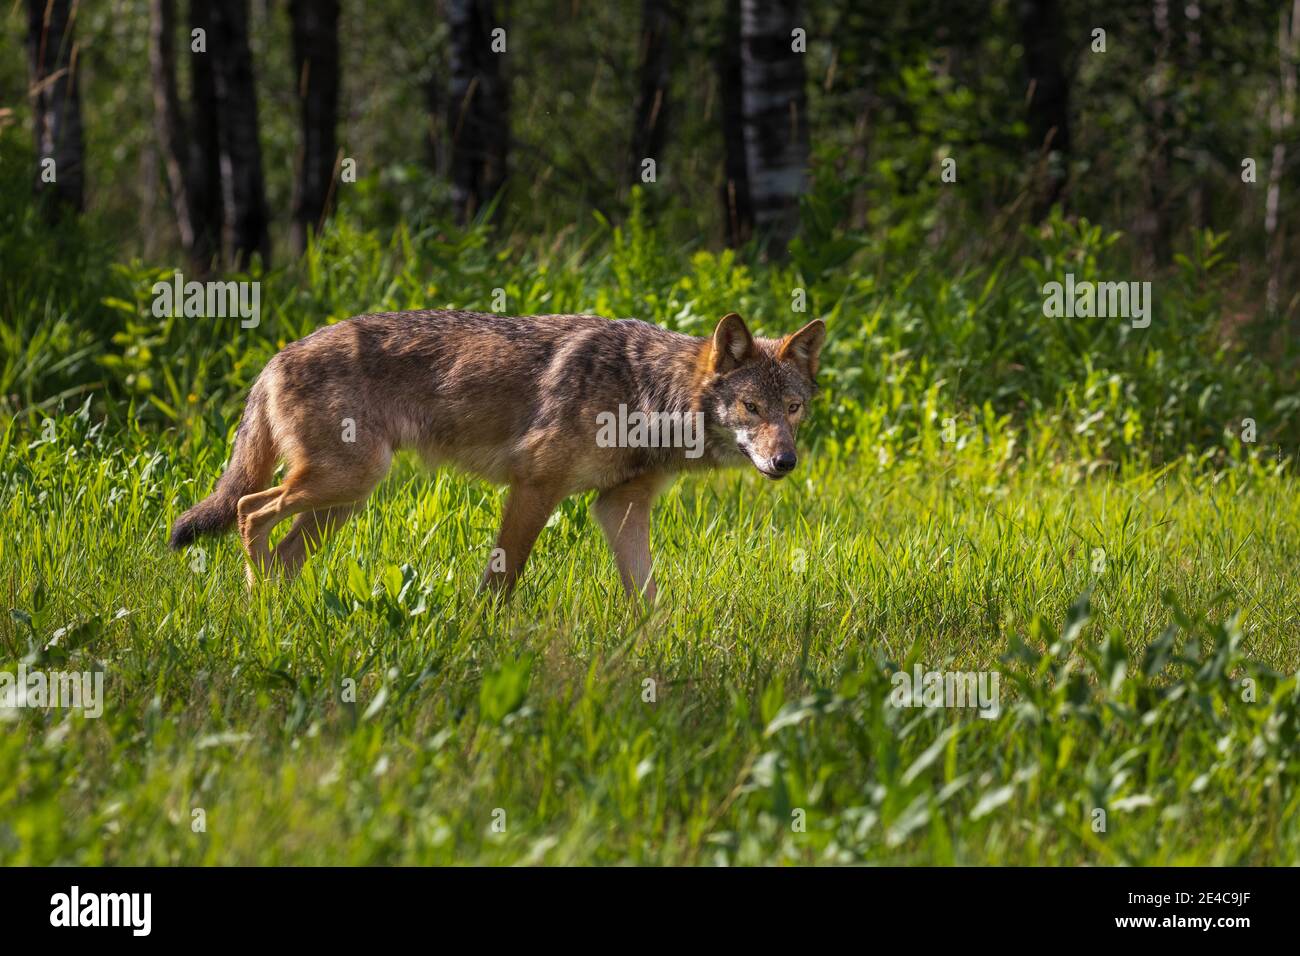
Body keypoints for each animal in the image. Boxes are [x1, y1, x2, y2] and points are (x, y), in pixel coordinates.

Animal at [168, 310, 825, 601]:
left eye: (792, 409)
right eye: (750, 407)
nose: (785, 463)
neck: (646, 394)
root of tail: (275, 356)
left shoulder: (619, 507)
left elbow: (649, 598)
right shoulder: (535, 487)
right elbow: (502, 580)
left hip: (346, 499)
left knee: (277, 548)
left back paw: (279, 614)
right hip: (344, 482)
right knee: (249, 510)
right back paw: (258, 605)